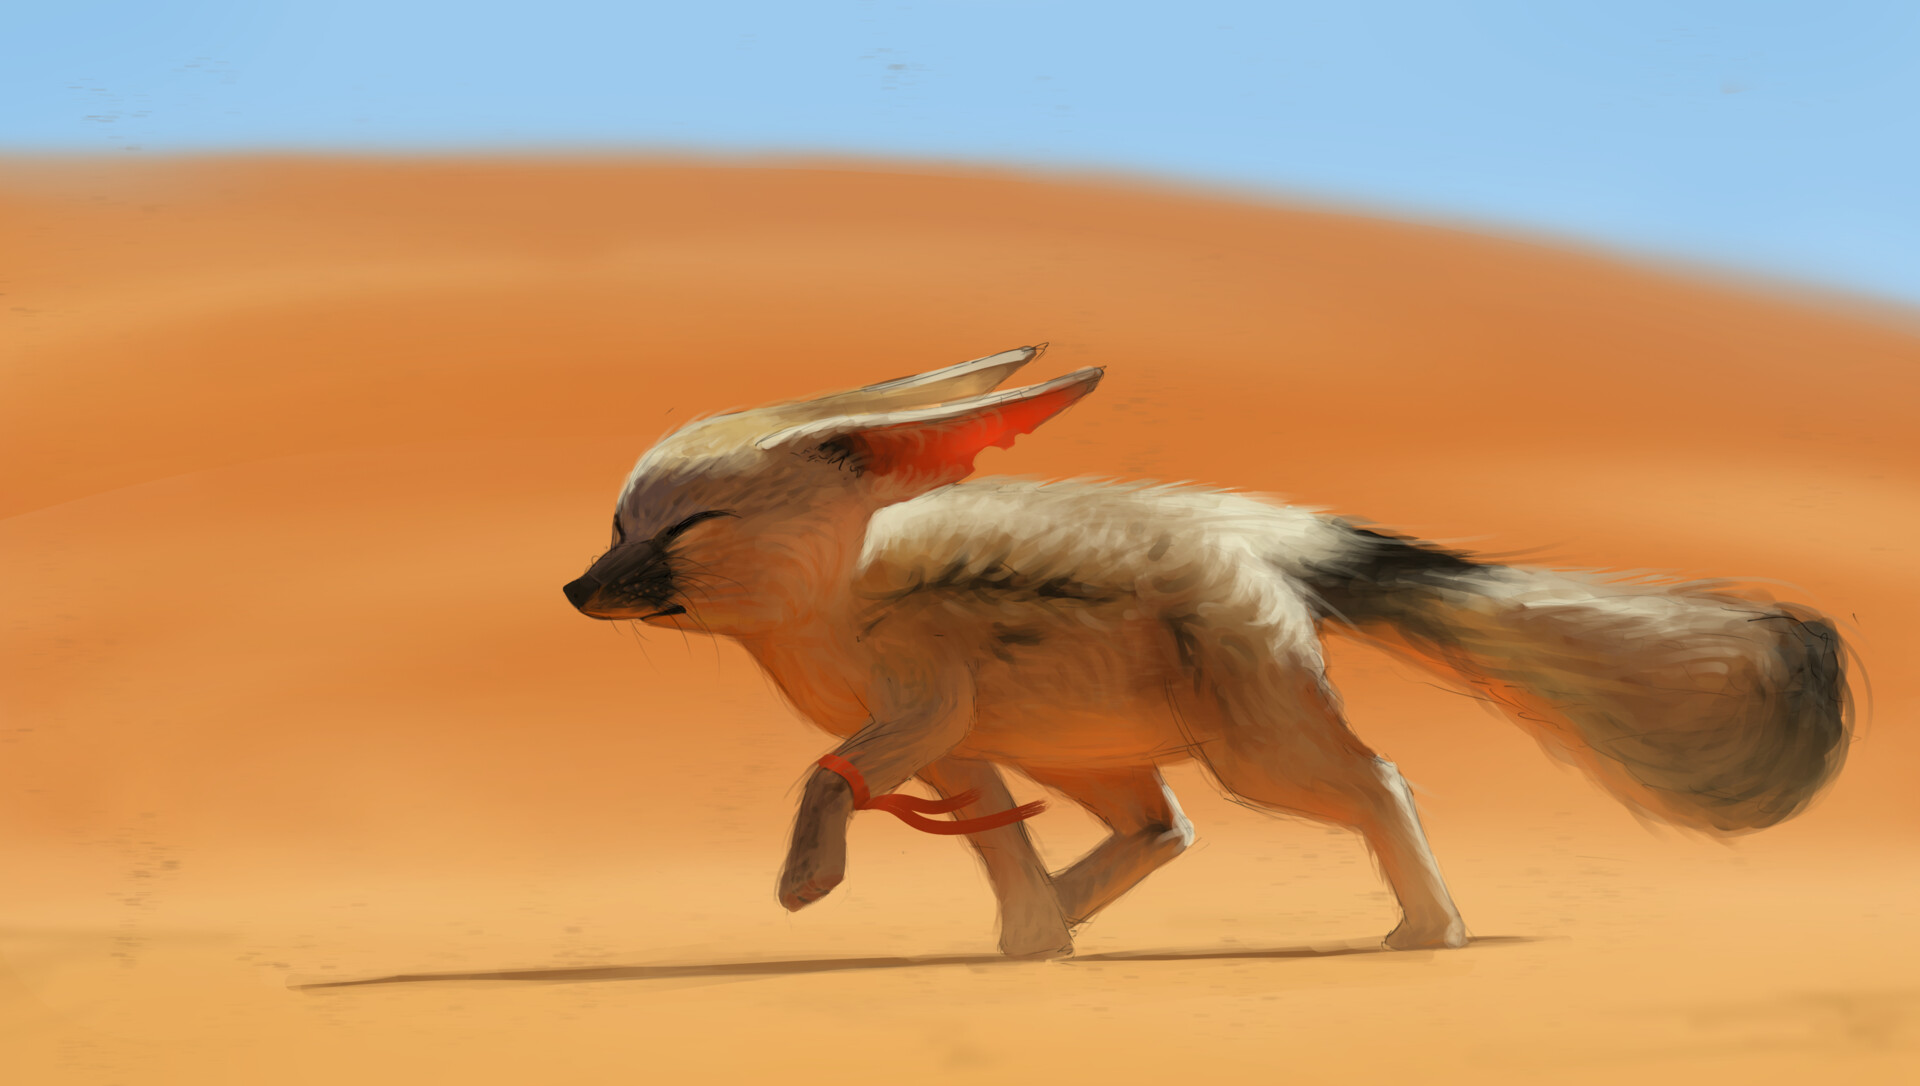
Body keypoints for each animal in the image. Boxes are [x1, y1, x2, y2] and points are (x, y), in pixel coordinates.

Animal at [562, 345, 1852, 957]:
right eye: (619, 526)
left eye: (683, 529)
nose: (577, 590)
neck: (831, 604)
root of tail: (1268, 528)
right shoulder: (959, 748)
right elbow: (990, 849)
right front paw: (1028, 940)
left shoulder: (922, 710)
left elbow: (825, 782)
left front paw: (808, 879)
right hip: (1082, 748)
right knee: (1163, 828)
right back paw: (1067, 919)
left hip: (1257, 750)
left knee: (1376, 783)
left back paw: (1427, 930)